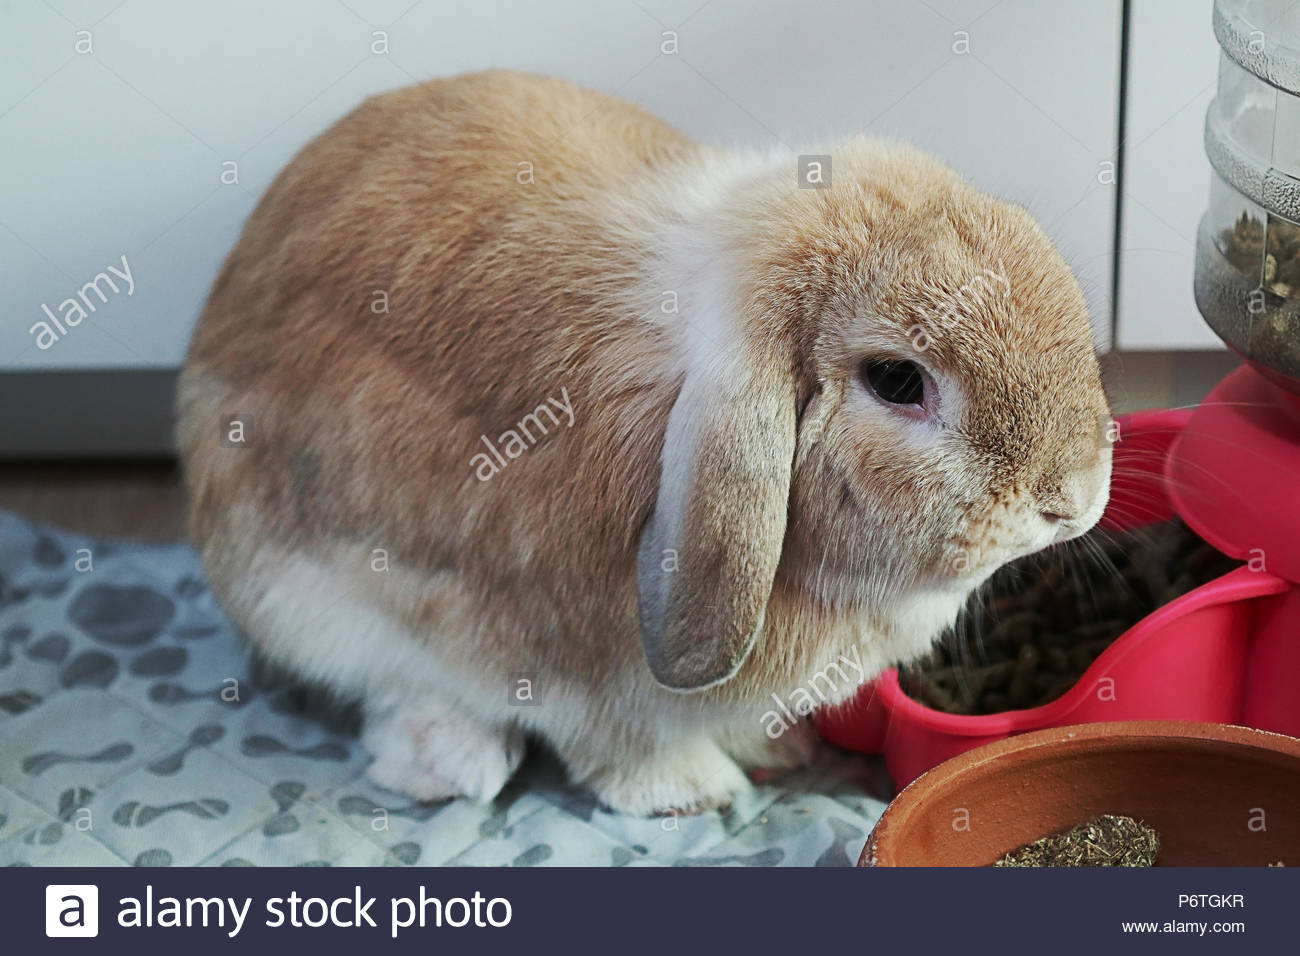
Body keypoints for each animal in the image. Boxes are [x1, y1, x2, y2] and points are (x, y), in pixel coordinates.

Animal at [177, 70, 1112, 815]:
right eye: (896, 380)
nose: (1070, 501)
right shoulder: (564, 665)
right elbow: (618, 738)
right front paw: (689, 794)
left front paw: (776, 752)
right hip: (300, 585)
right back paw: (454, 763)